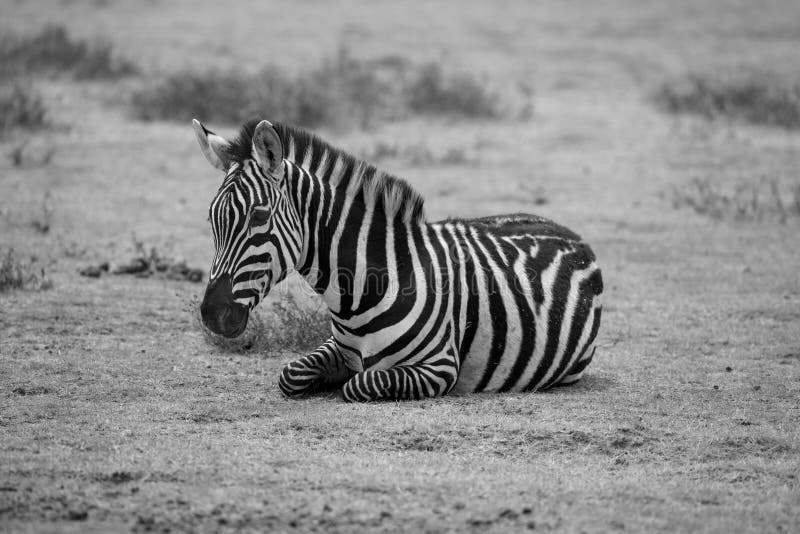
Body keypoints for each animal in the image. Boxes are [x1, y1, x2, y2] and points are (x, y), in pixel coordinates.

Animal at [193, 118, 603, 402]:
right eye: (211, 219)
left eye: (258, 217)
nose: (212, 314)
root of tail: (562, 227)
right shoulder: (335, 346)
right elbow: (290, 374)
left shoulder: (439, 367)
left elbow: (360, 383)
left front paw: (339, 383)